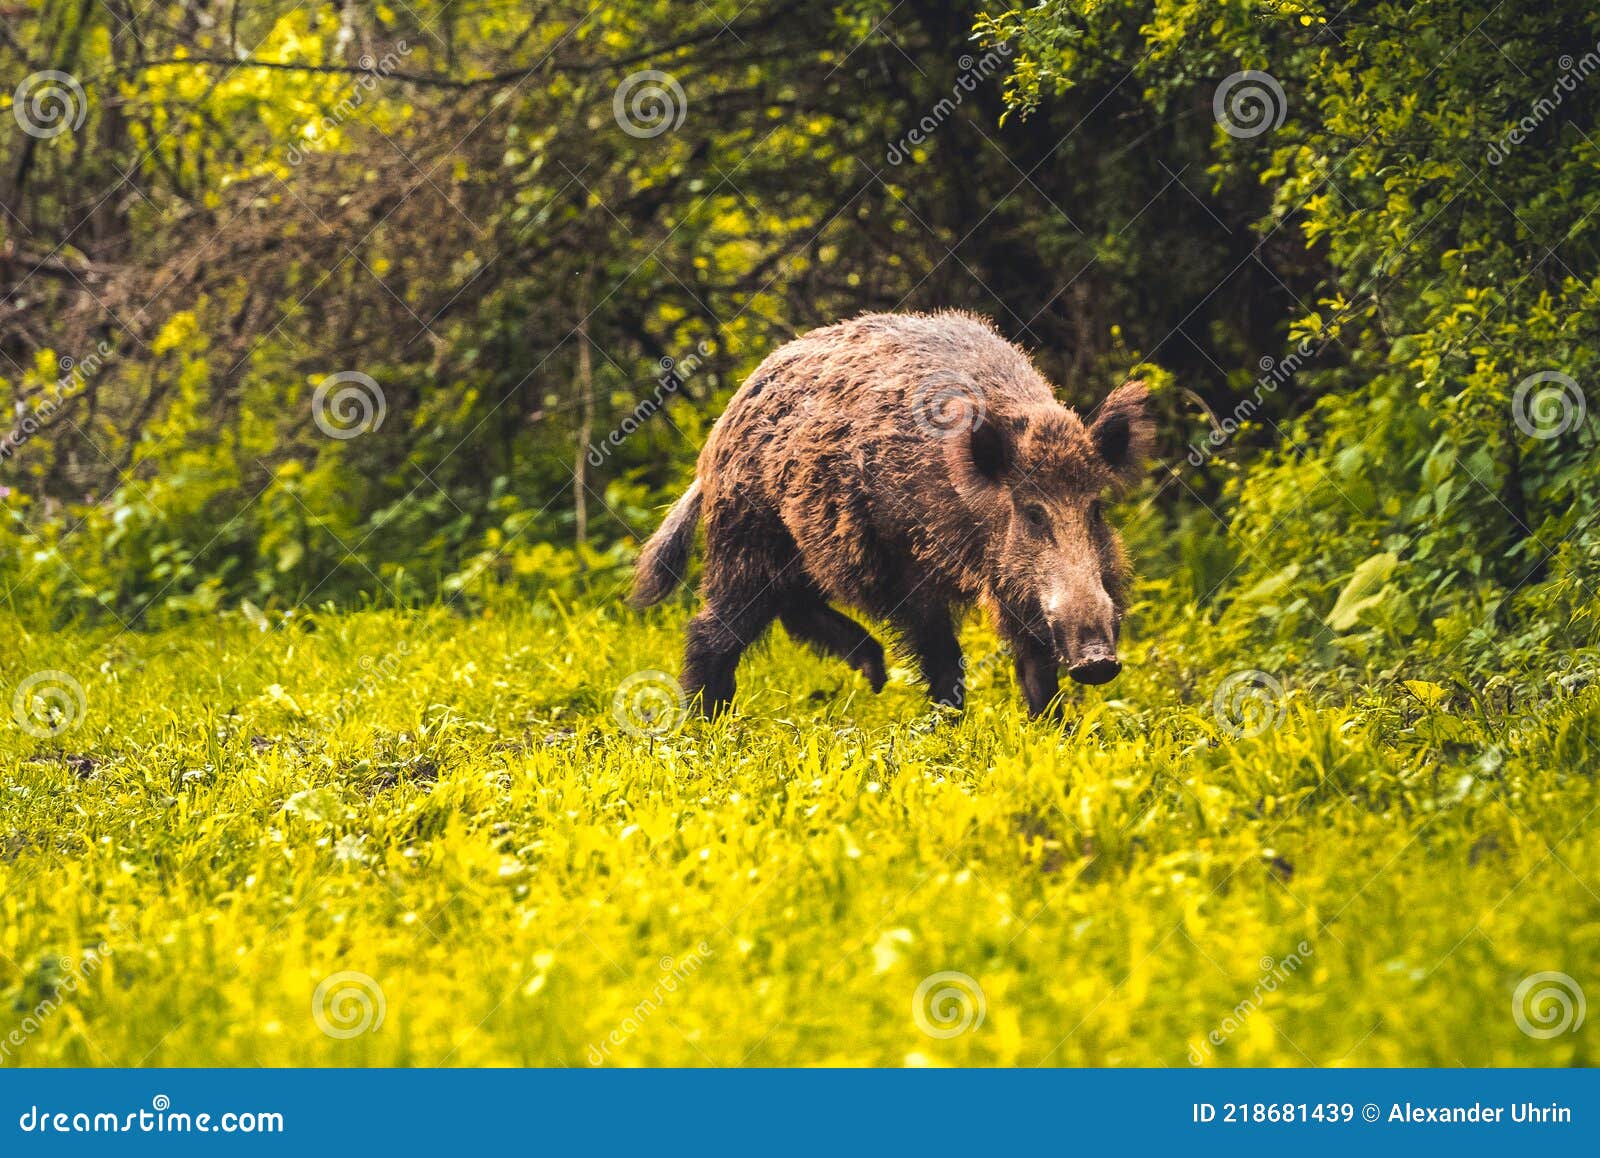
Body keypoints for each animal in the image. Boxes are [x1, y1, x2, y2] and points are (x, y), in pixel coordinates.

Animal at [630, 311, 1153, 717]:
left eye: (1096, 508)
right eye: (1031, 513)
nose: (1098, 661)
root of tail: (717, 436)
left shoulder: (1015, 589)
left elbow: (1035, 666)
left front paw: (1053, 733)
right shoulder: (910, 565)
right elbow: (943, 657)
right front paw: (947, 730)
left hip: (799, 548)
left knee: (794, 607)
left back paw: (874, 673)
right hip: (746, 537)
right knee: (712, 631)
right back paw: (706, 724)